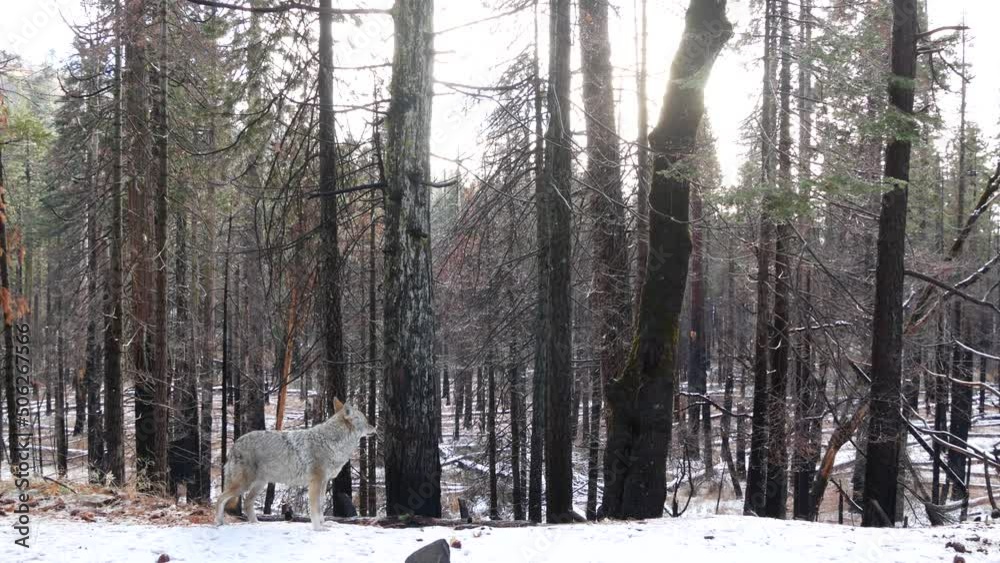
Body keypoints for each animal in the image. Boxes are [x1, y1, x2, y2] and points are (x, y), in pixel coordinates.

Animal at [215, 399, 376, 530]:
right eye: (365, 420)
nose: (375, 428)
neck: (331, 443)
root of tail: (235, 444)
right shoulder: (315, 482)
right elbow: (315, 508)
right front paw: (318, 529)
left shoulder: (324, 482)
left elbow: (321, 506)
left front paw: (324, 525)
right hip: (243, 485)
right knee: (220, 499)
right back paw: (219, 523)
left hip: (259, 485)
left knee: (247, 503)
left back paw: (256, 524)